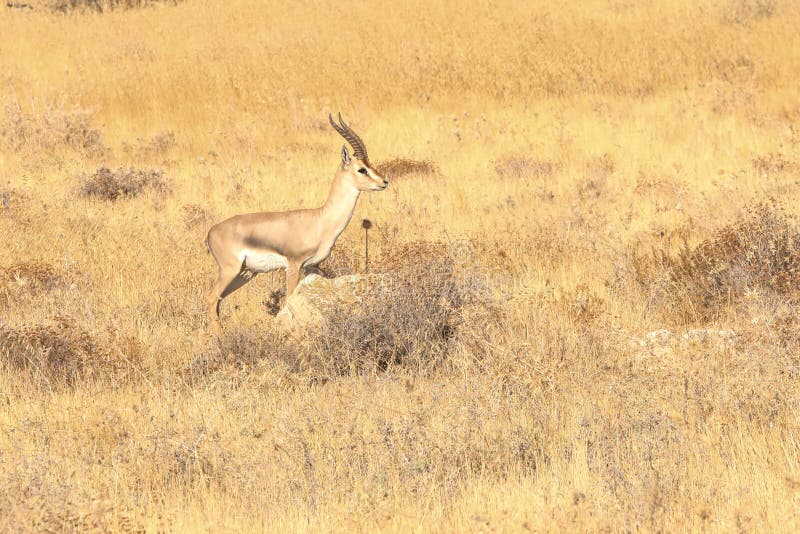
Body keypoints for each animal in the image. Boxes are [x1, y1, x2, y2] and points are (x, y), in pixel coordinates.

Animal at [205, 113, 388, 329]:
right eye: (361, 169)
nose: (384, 182)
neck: (320, 220)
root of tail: (211, 232)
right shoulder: (293, 265)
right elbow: (289, 300)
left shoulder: (312, 266)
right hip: (230, 270)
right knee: (211, 298)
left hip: (245, 273)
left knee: (218, 300)